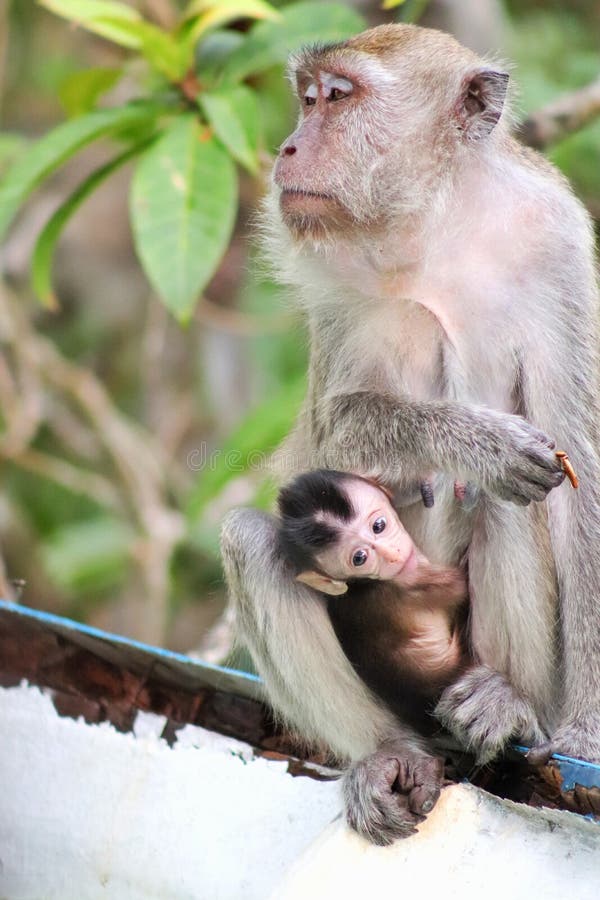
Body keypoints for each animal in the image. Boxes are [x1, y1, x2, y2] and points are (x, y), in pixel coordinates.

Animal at [277, 469, 472, 738]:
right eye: (360, 558)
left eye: (378, 526)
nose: (392, 554)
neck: (362, 584)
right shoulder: (414, 585)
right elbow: (461, 587)